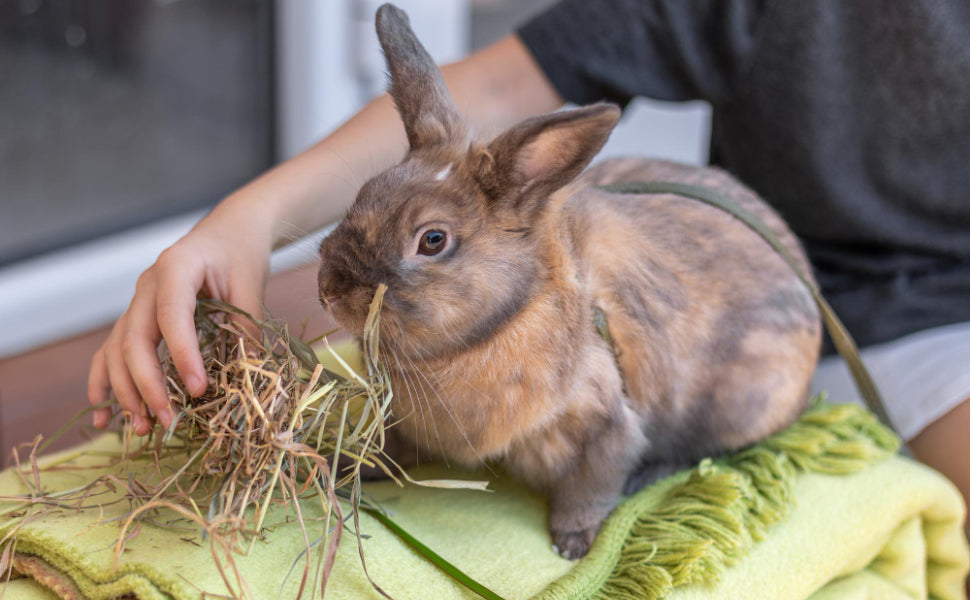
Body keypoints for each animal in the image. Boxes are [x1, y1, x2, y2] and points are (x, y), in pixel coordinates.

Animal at [317, 3, 821, 560]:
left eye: (432, 240)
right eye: (366, 193)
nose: (329, 290)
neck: (508, 316)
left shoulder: (605, 426)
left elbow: (592, 486)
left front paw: (574, 545)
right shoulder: (404, 423)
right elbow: (386, 450)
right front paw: (345, 467)